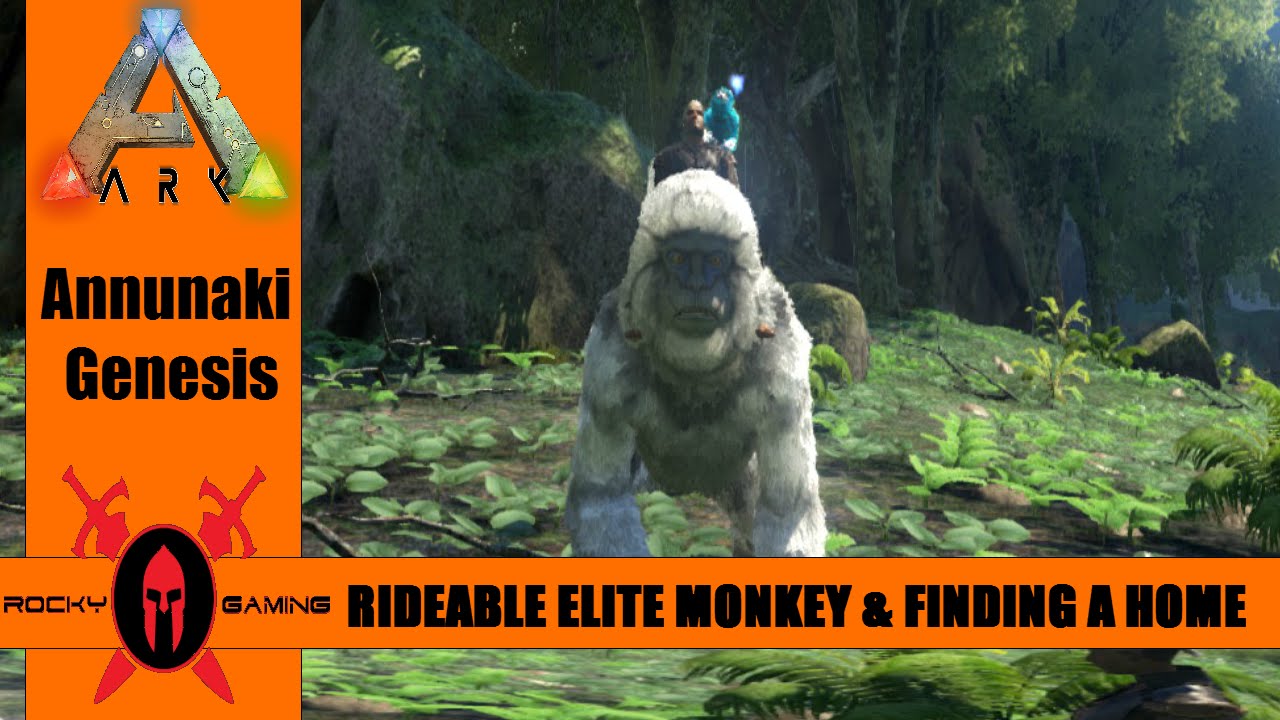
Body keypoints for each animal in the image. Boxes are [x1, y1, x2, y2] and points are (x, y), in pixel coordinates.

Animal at [565, 169, 827, 557]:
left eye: (716, 260)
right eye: (677, 258)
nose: (697, 285)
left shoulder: (784, 361)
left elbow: (788, 508)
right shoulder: (608, 359)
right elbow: (601, 499)